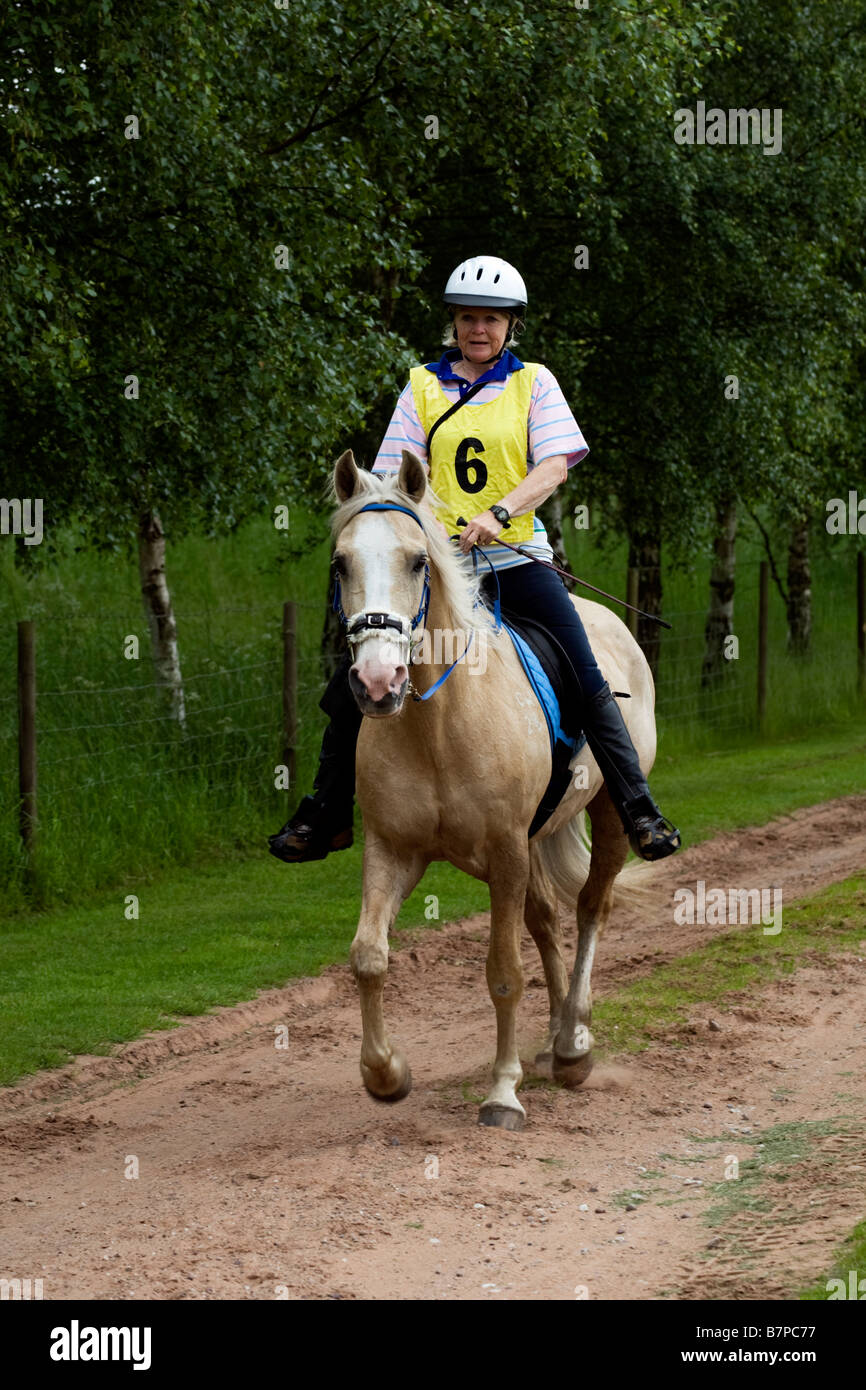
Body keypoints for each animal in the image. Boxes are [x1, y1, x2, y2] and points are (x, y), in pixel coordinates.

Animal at [330, 447, 657, 1130]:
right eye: (341, 563)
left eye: (418, 560)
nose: (377, 681)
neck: (437, 724)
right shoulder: (393, 850)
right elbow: (369, 955)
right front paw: (386, 1075)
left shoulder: (506, 852)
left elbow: (504, 972)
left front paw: (503, 1092)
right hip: (534, 840)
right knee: (546, 919)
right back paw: (556, 1039)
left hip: (610, 815)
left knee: (591, 908)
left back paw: (575, 1045)